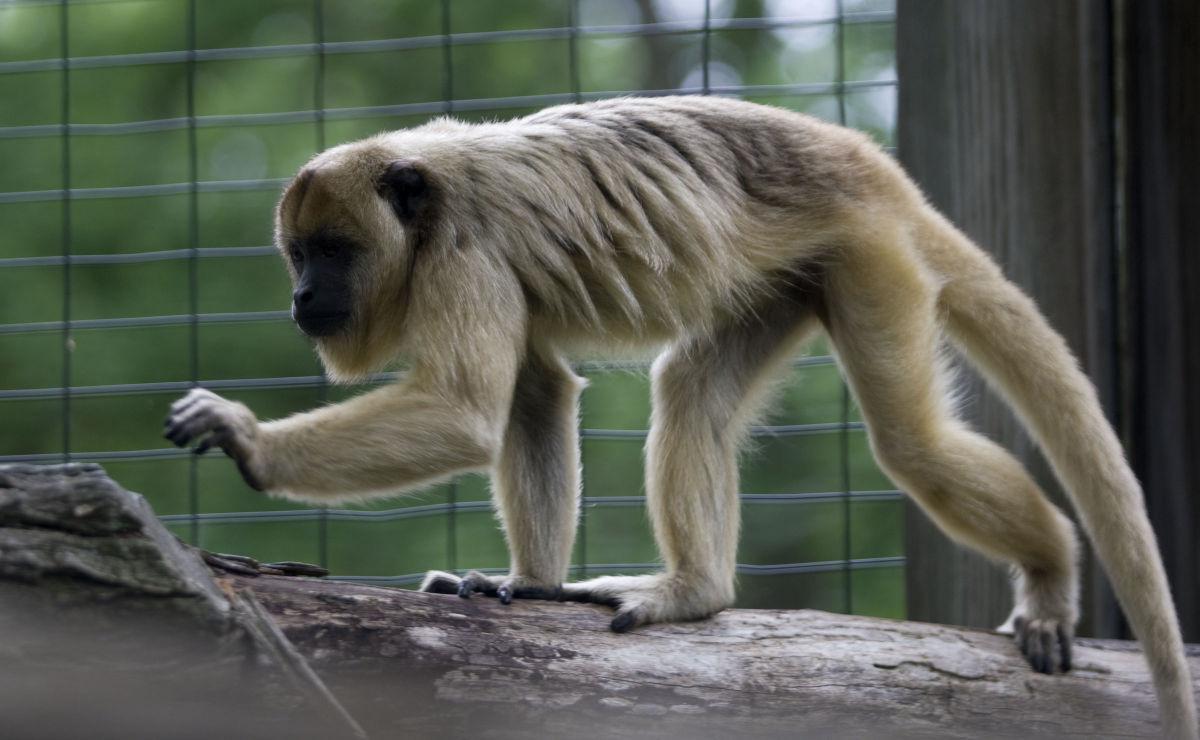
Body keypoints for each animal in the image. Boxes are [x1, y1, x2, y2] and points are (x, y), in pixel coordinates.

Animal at [163, 96, 1196, 737]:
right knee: (692, 393)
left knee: (913, 445)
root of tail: (868, 165)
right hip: (793, 278)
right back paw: (700, 588)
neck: (423, 207)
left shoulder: (465, 253)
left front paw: (248, 440)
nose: (302, 299)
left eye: (333, 251)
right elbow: (536, 397)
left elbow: (462, 414)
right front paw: (527, 583)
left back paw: (1050, 564)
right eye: (296, 253)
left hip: (871, 255)